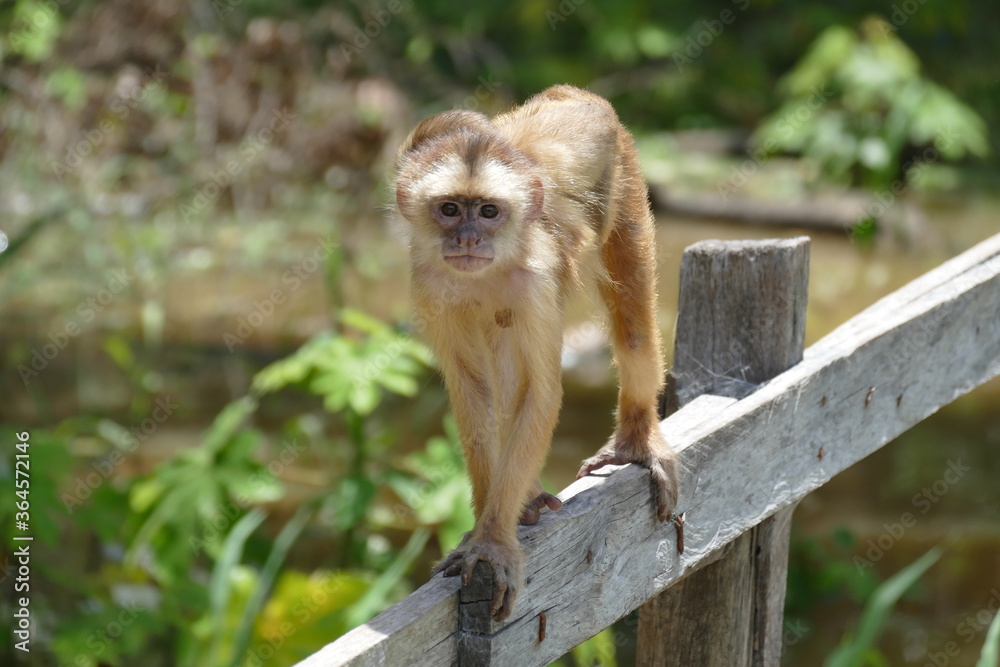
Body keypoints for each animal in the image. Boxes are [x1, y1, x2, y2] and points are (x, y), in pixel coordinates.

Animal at [392, 85, 678, 621]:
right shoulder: (428, 285)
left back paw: (636, 437)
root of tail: (570, 92)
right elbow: (475, 395)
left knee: (631, 323)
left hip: (624, 171)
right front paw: (495, 521)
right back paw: (524, 498)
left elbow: (541, 396)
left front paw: (493, 543)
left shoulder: (536, 278)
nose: (468, 238)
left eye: (487, 212)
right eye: (449, 209)